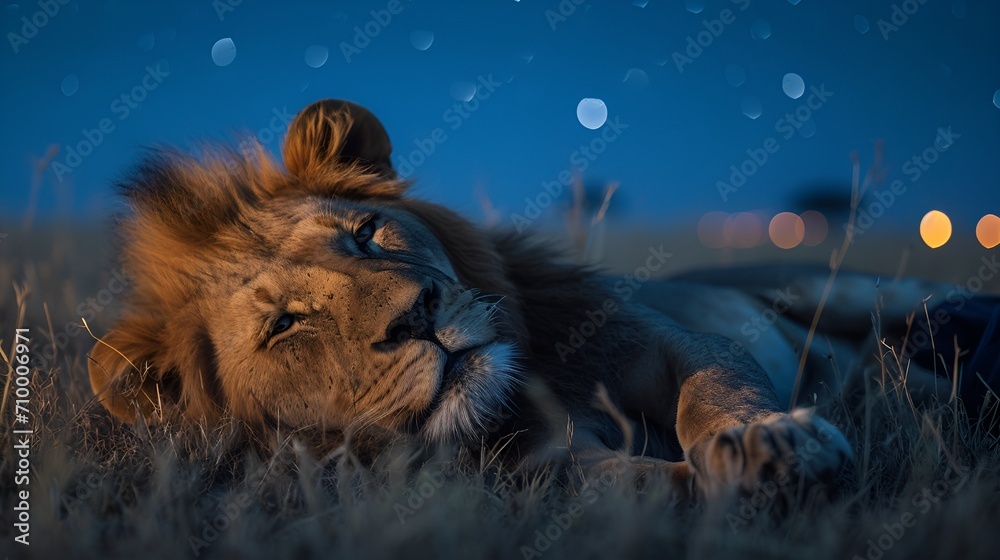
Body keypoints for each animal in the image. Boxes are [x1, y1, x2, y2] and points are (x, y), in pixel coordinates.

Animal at [88, 99, 999, 498]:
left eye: (367, 234)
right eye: (285, 325)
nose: (417, 315)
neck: (523, 392)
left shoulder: (663, 338)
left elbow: (715, 390)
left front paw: (769, 439)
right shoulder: (544, 473)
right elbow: (643, 487)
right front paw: (746, 475)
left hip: (836, 281)